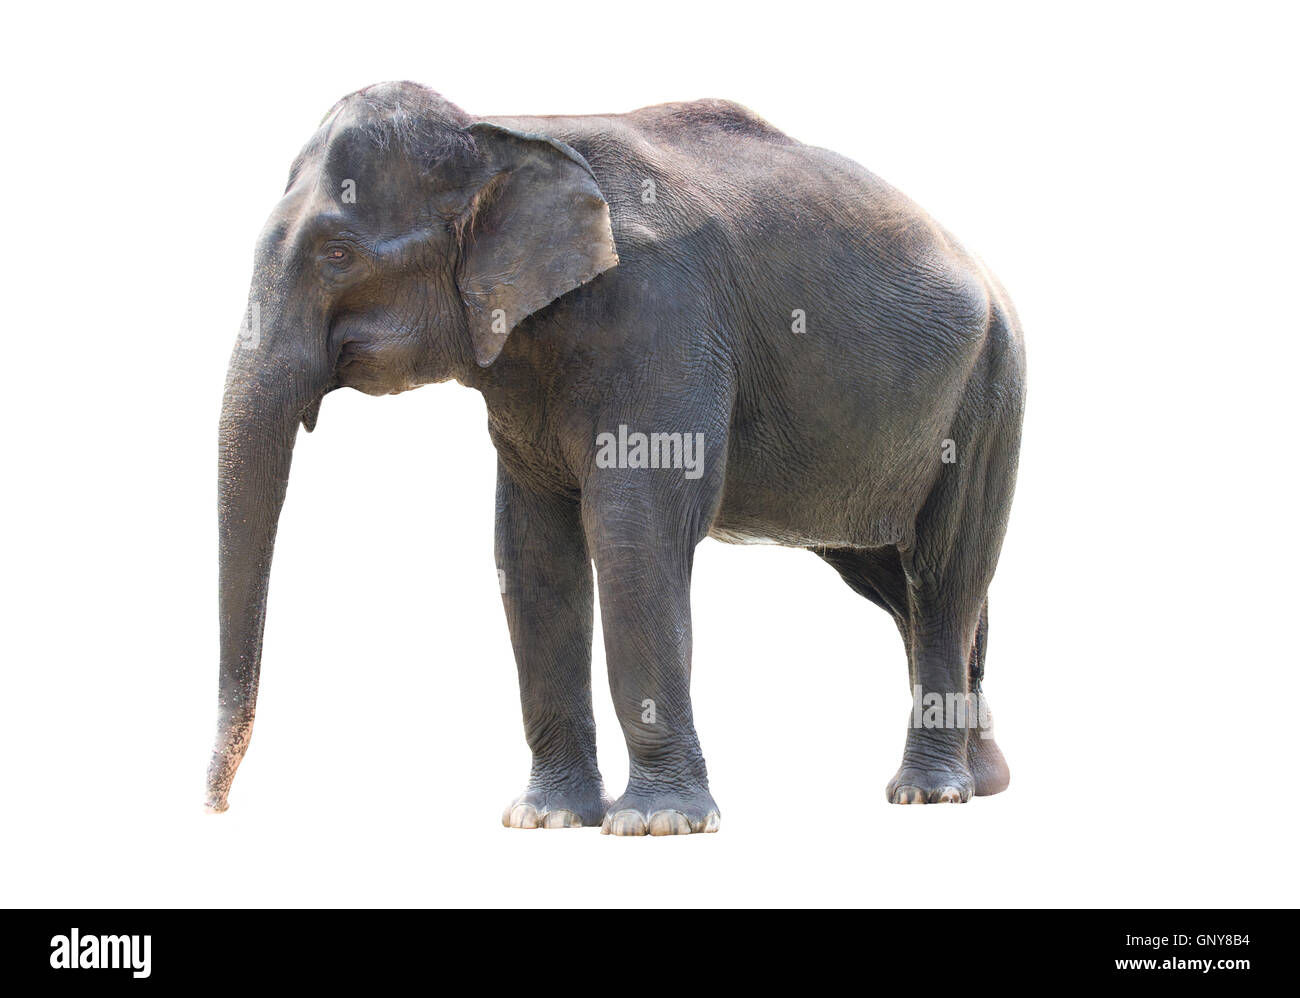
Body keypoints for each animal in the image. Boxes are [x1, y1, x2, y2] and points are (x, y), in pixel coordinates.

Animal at [206, 81, 1026, 834]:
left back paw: (927, 795)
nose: (217, 808)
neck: (503, 131)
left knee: (942, 575)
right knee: (901, 586)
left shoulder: (663, 315)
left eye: (337, 255)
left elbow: (634, 531)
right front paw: (545, 818)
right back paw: (984, 783)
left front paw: (658, 823)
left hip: (990, 399)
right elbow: (531, 551)